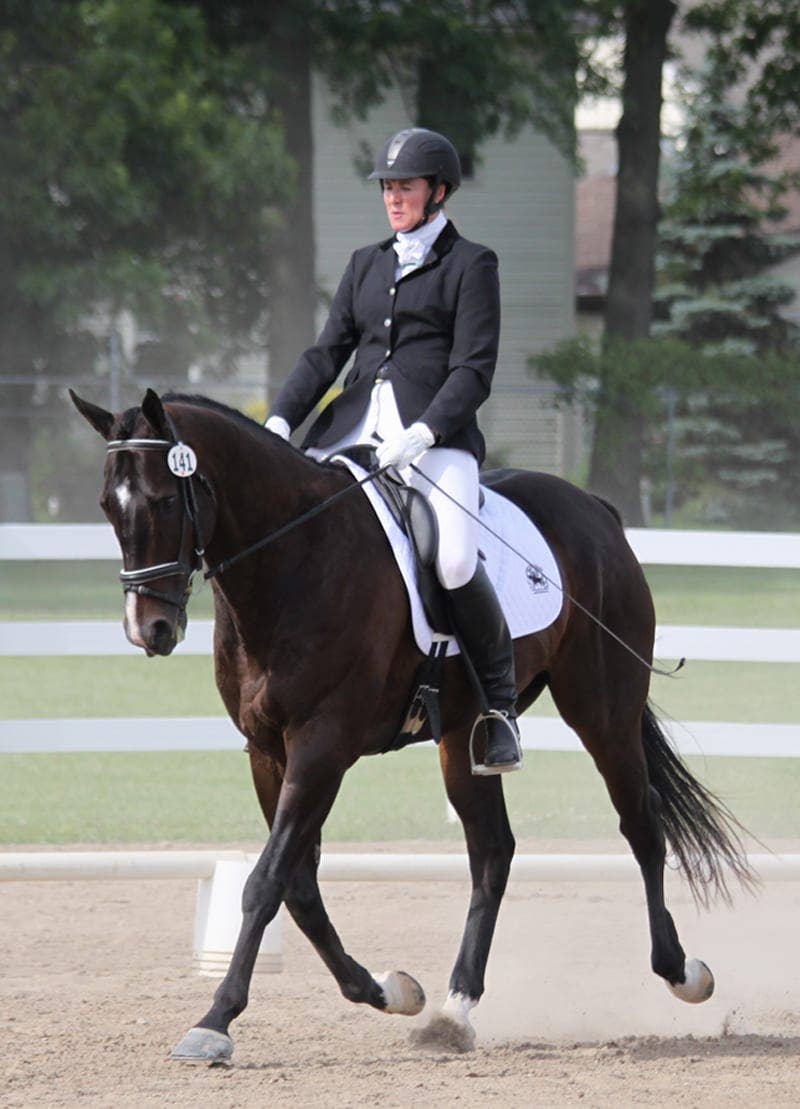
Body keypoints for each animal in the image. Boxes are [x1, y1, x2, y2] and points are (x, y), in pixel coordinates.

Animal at [70, 387, 752, 1063]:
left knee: (642, 823)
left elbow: (265, 882)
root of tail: (596, 510)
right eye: (106, 504)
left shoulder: (323, 744)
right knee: (493, 852)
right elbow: (299, 887)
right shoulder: (268, 750)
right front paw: (388, 990)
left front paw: (215, 1021)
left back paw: (682, 972)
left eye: (164, 500)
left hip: (603, 710)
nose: (149, 630)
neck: (297, 560)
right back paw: (455, 1008)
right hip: (463, 735)